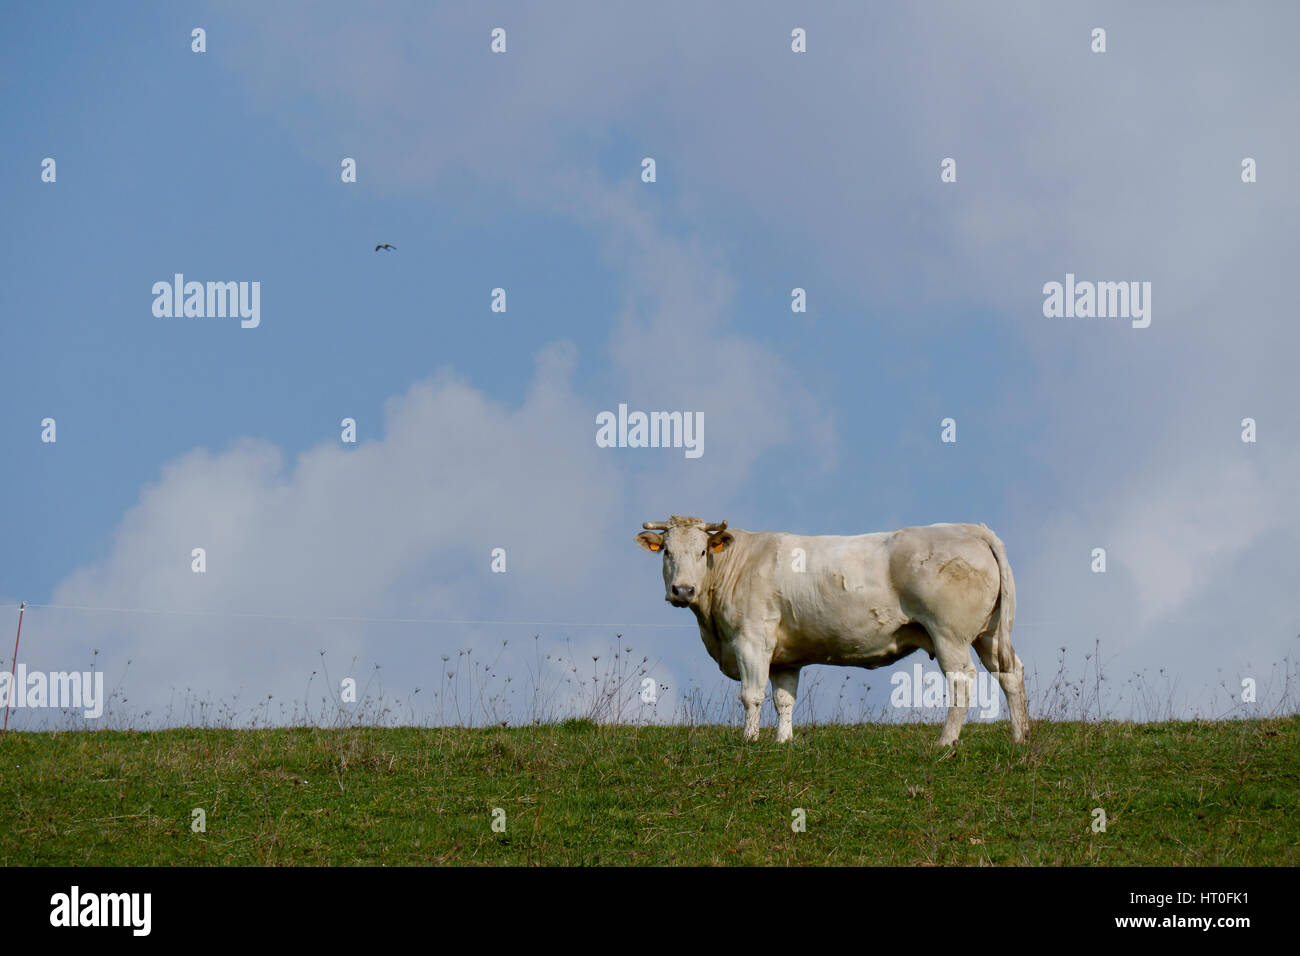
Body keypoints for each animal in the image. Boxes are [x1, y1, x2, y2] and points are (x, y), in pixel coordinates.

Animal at [636, 516, 1028, 746]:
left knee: (961, 680)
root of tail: (969, 528)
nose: (683, 590)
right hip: (990, 633)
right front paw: (783, 741)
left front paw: (749, 740)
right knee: (1010, 673)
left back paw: (945, 742)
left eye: (702, 552)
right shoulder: (785, 657)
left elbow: (752, 695)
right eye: (666, 552)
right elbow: (784, 699)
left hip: (950, 633)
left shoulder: (751, 640)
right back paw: (1020, 736)